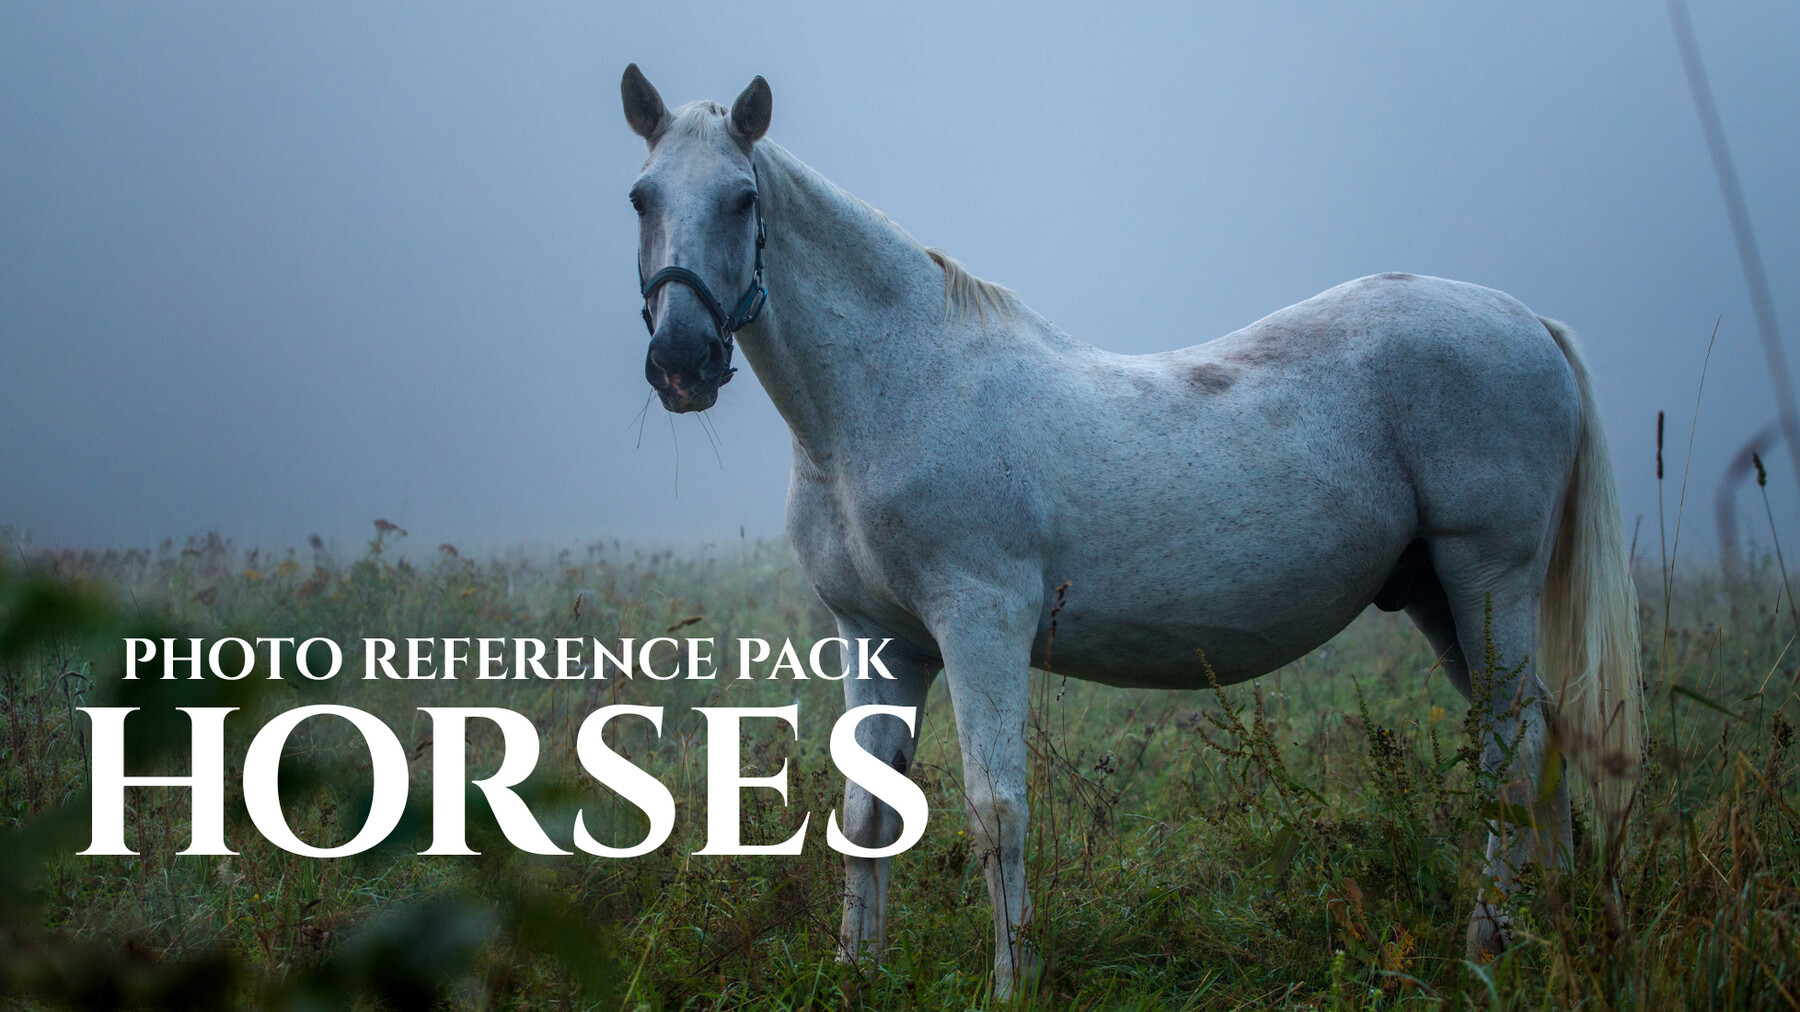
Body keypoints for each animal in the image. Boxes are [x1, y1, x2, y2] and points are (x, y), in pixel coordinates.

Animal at [616, 65, 1642, 997]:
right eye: (641, 196)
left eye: (743, 198)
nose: (680, 362)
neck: (890, 392)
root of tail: (1530, 323)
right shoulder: (877, 639)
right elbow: (869, 811)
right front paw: (853, 972)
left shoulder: (980, 625)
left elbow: (996, 811)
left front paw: (1012, 982)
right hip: (1438, 597)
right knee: (1543, 745)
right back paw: (1554, 937)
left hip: (1487, 579)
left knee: (1513, 755)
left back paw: (1488, 949)